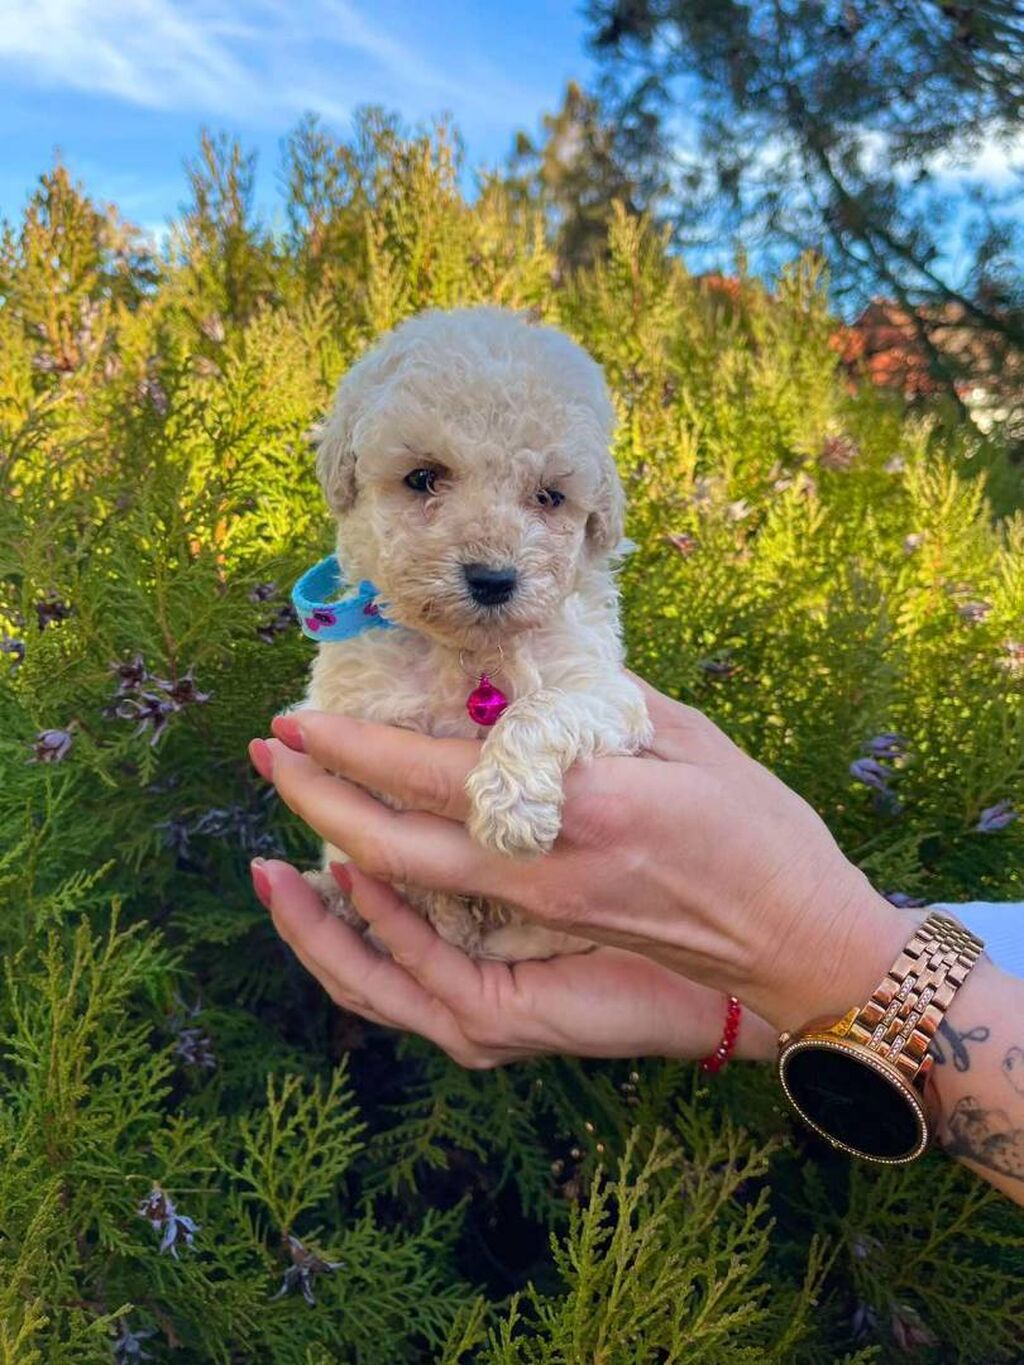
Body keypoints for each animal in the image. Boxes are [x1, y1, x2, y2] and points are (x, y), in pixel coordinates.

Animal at [296, 307, 652, 960]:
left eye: (549, 496)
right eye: (423, 477)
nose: (493, 579)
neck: (469, 649)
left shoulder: (607, 693)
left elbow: (543, 705)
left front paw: (512, 808)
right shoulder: (348, 705)